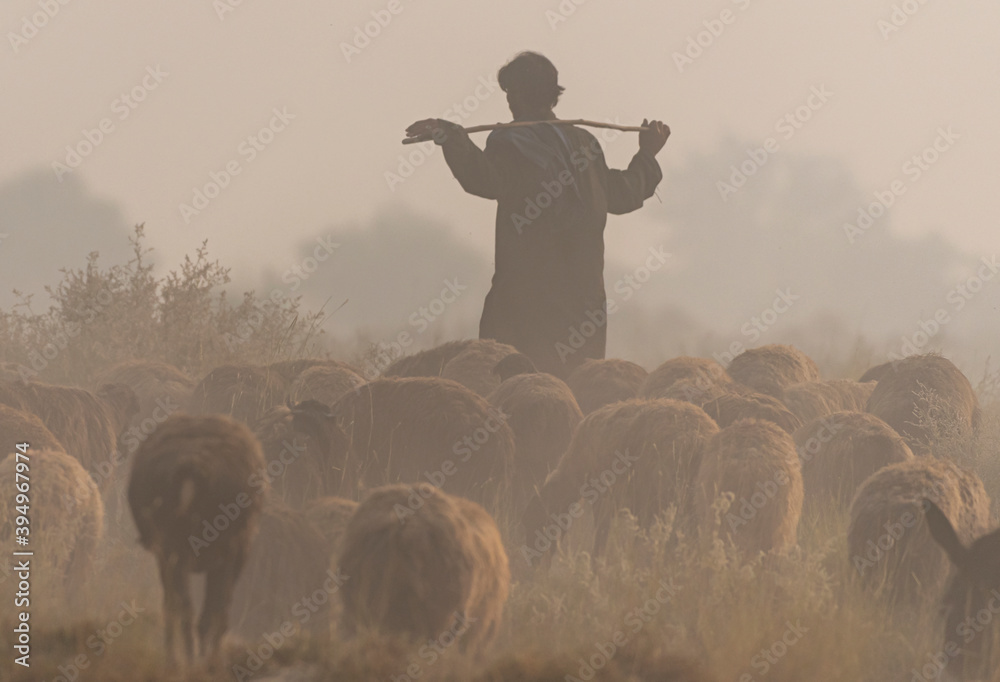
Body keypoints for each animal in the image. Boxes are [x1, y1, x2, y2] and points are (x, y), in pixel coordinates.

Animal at [127, 413, 268, 668]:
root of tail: (193, 467)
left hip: (175, 552)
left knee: (184, 607)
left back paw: (183, 659)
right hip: (215, 550)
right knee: (209, 609)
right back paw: (200, 660)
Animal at [524, 398, 719, 560]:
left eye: (538, 521)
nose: (533, 565)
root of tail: (697, 438)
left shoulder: (605, 499)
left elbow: (601, 536)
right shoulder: (640, 505)